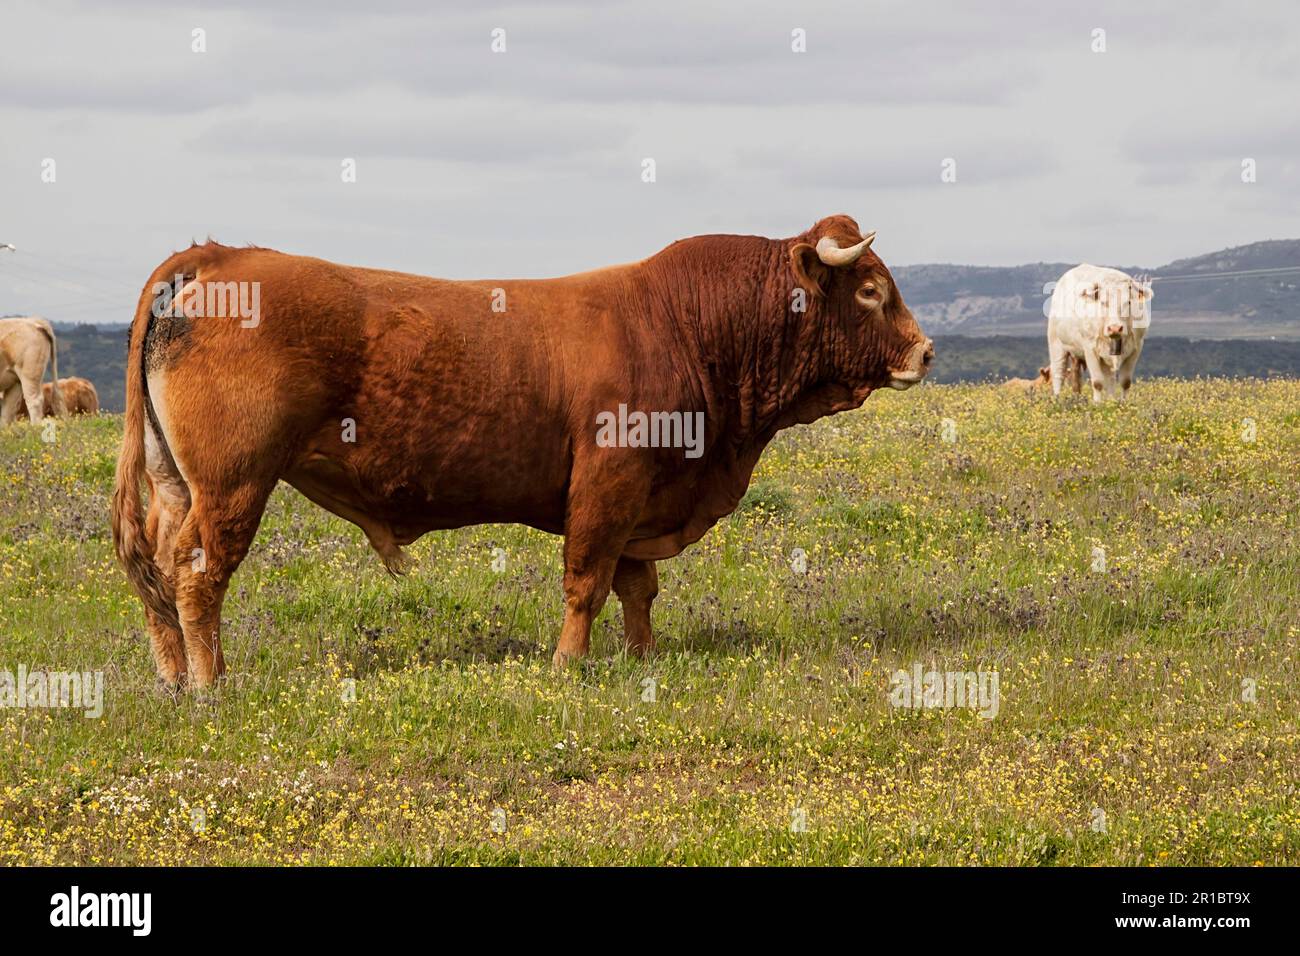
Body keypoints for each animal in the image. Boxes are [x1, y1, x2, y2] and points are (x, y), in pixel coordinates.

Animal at [111, 215, 934, 688]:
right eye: (869, 289)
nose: (926, 352)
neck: (683, 323)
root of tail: (215, 258)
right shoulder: (607, 484)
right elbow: (587, 582)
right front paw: (568, 667)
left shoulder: (642, 497)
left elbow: (638, 588)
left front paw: (643, 659)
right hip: (233, 485)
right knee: (196, 575)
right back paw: (212, 686)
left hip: (175, 483)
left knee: (157, 574)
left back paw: (174, 679)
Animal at [1047, 264, 1152, 402]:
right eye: (1103, 302)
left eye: (1128, 302)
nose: (1115, 328)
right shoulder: (1090, 349)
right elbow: (1097, 382)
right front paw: (1097, 403)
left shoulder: (1136, 348)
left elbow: (1125, 382)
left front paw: (1122, 403)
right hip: (1056, 345)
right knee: (1058, 374)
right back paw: (1057, 400)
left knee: (1104, 380)